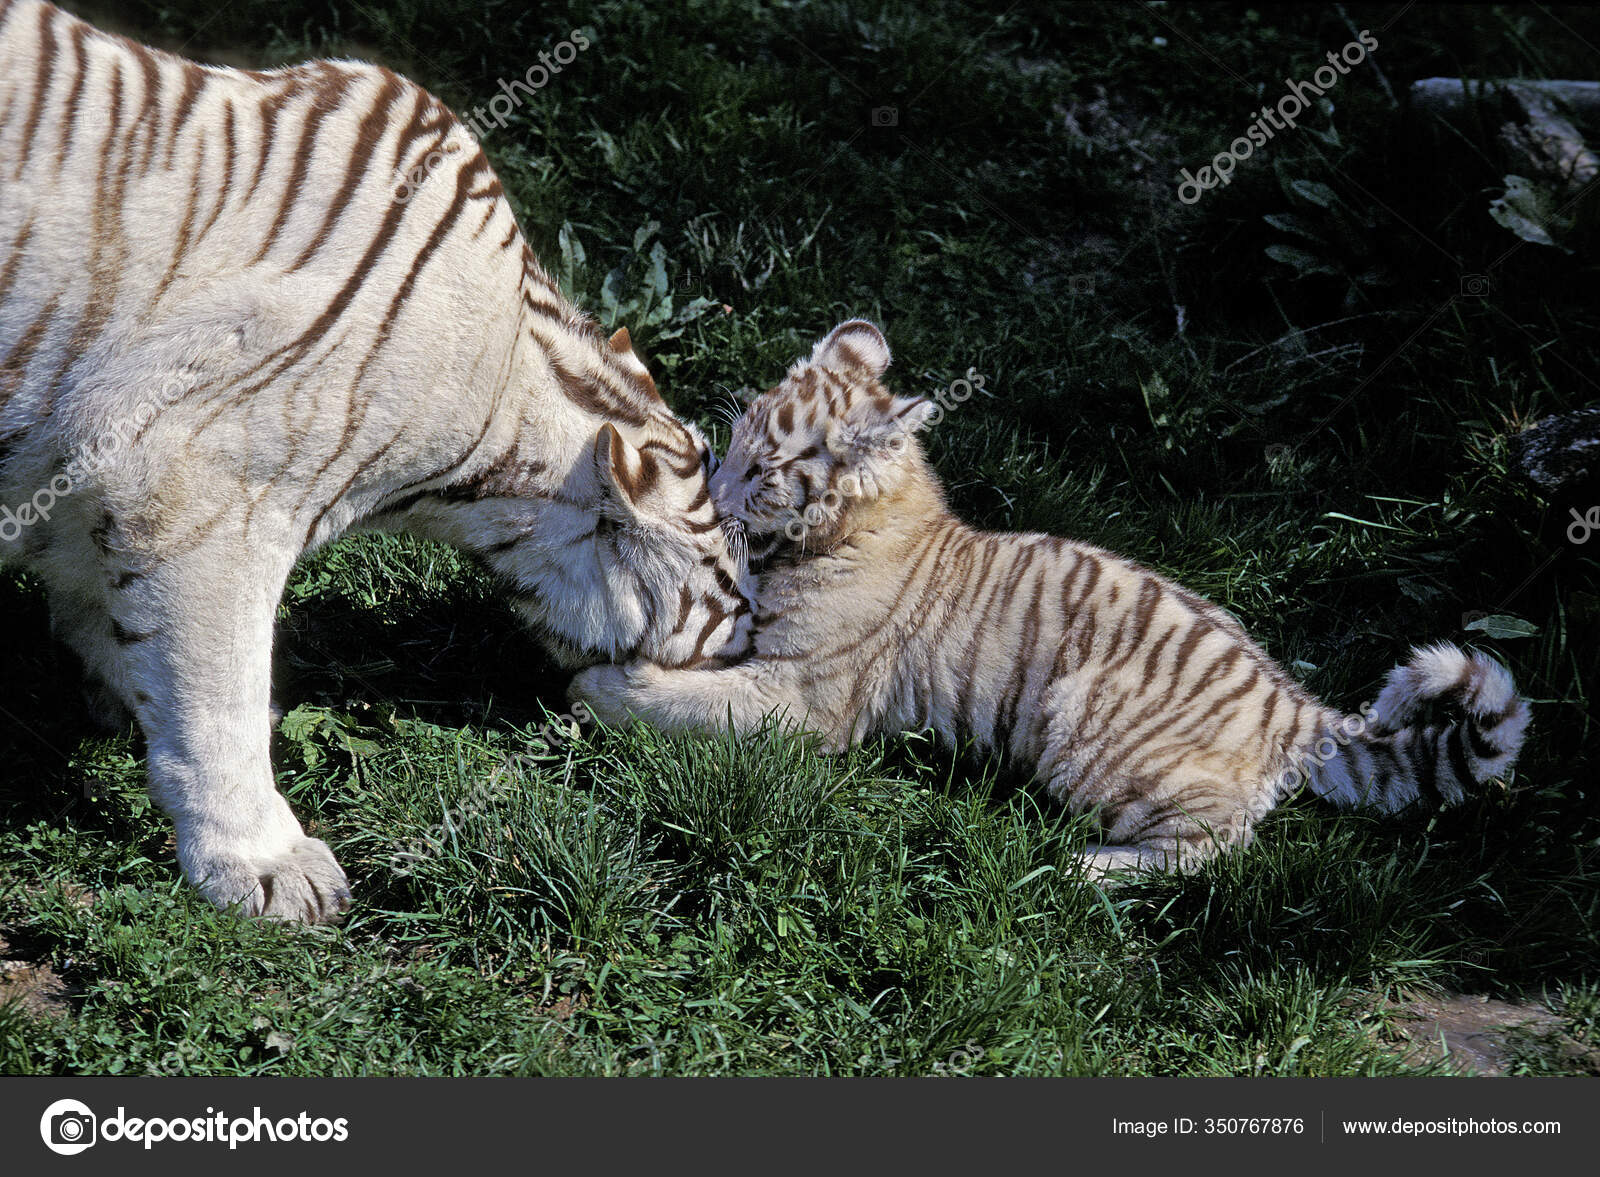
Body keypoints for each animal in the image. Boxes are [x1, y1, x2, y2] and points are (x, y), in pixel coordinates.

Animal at [0, 0, 753, 923]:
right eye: (733, 581)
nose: (756, 634)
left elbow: (113, 614)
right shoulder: (198, 485)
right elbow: (218, 684)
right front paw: (268, 863)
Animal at [571, 320, 1532, 875]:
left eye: (765, 471)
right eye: (734, 437)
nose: (710, 492)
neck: (855, 526)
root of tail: (1290, 705)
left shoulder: (800, 695)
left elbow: (692, 702)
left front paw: (597, 688)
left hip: (1089, 724)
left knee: (1214, 845)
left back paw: (1086, 868)